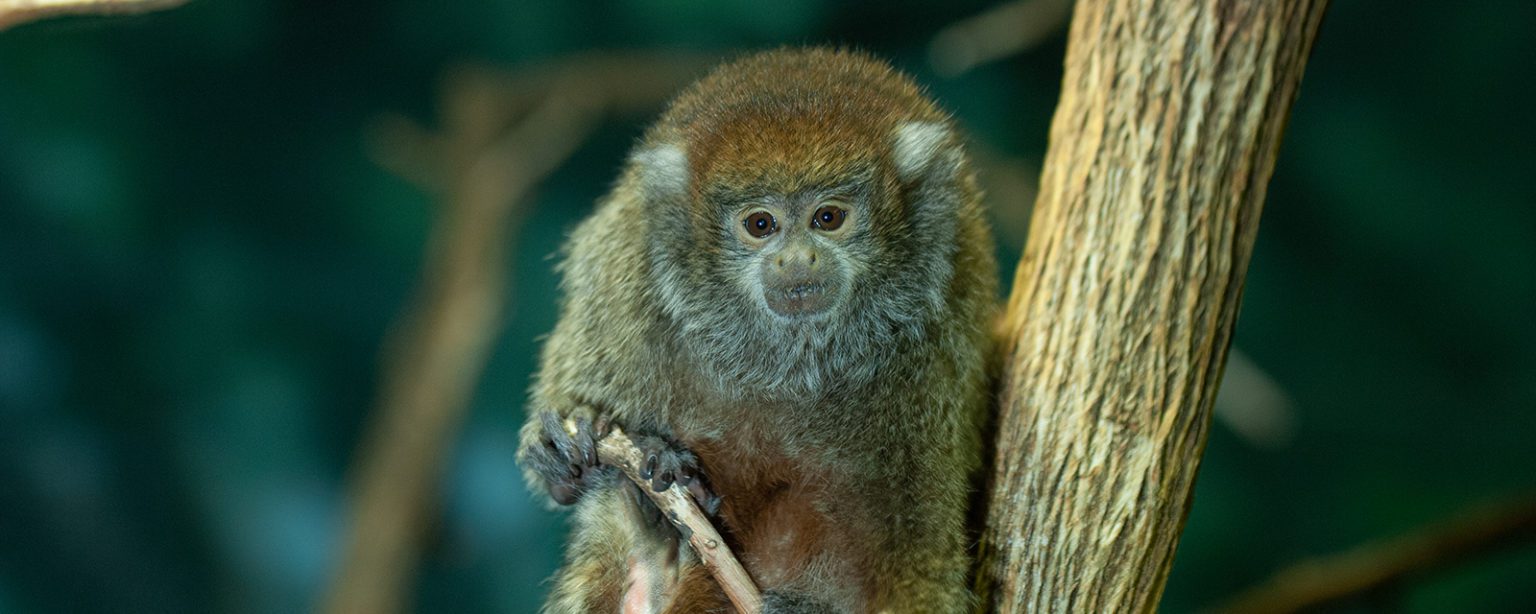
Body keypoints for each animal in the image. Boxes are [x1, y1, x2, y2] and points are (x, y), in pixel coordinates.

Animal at [517, 47, 998, 613]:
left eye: (828, 217)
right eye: (761, 224)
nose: (797, 260)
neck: (784, 364)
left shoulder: (940, 339)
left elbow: (920, 565)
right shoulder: (623, 275)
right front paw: (562, 458)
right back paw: (651, 540)